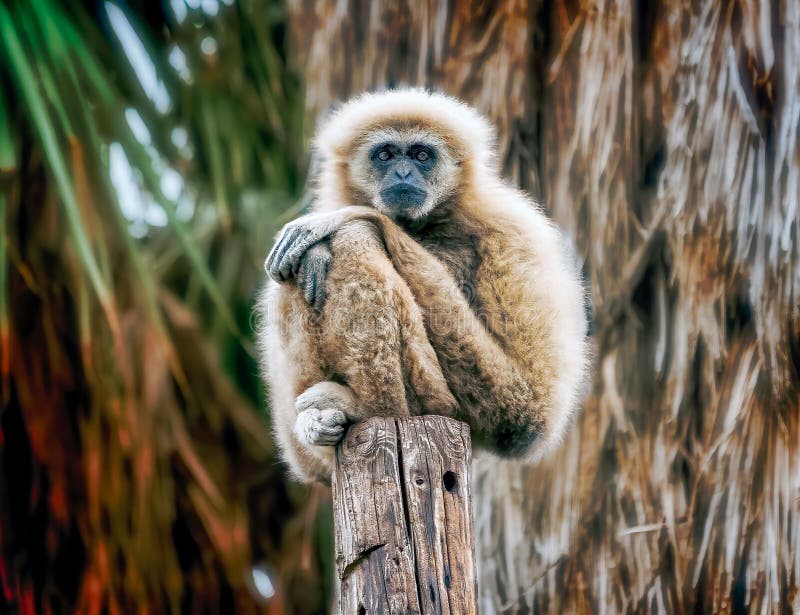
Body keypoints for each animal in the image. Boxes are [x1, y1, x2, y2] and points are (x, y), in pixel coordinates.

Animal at [257, 88, 590, 483]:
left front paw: (331, 220)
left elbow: (528, 410)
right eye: (385, 154)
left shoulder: (514, 232)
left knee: (352, 239)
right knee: (298, 269)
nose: (403, 171)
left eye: (421, 155)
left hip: (450, 403)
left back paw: (367, 407)